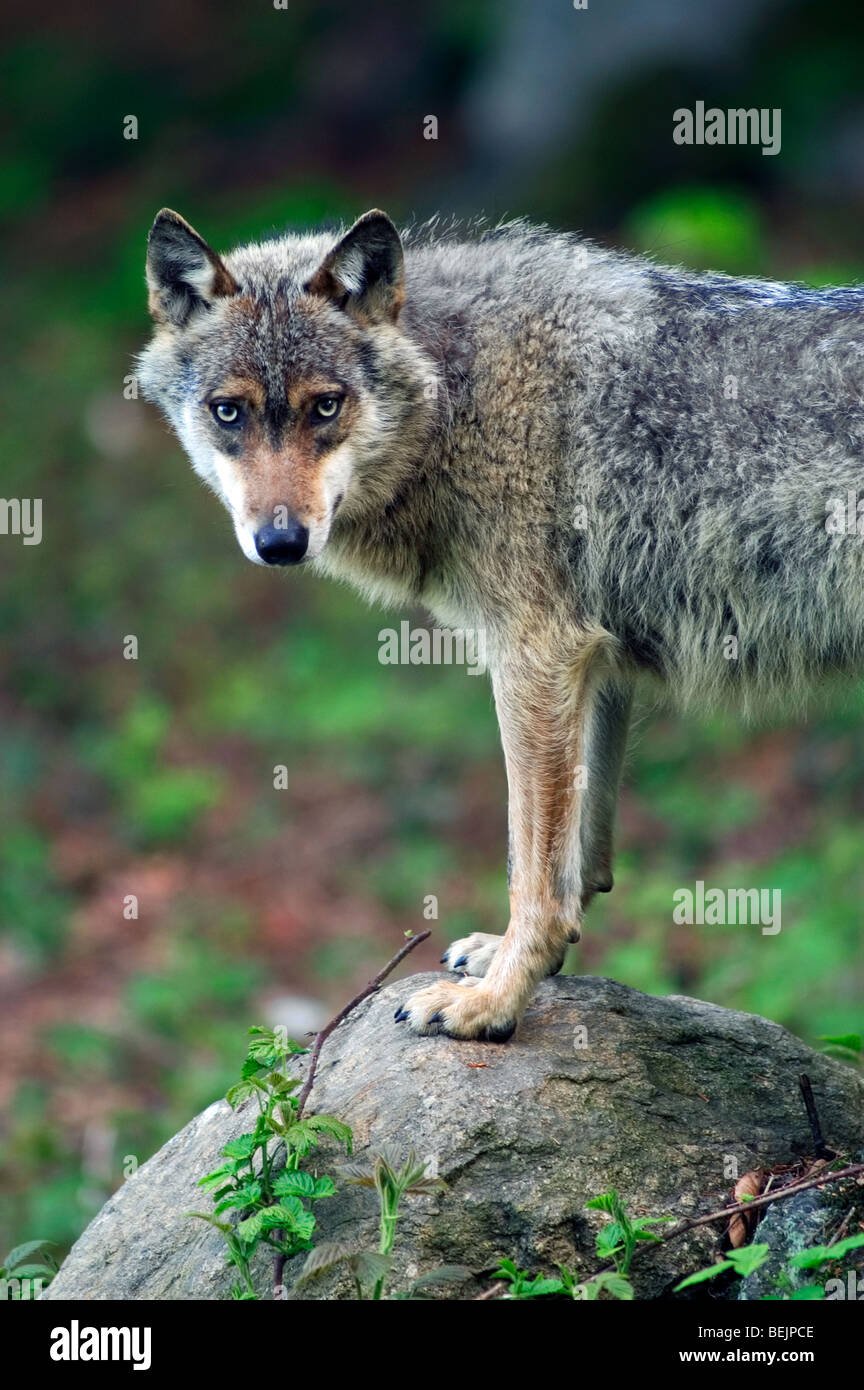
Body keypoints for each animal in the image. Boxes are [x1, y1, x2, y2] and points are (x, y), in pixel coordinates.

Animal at [138, 206, 864, 1041]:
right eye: (229, 411)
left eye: (325, 405)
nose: (281, 543)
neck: (457, 391)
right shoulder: (595, 665)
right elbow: (580, 860)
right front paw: (516, 961)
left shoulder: (536, 655)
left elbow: (533, 865)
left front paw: (492, 1004)